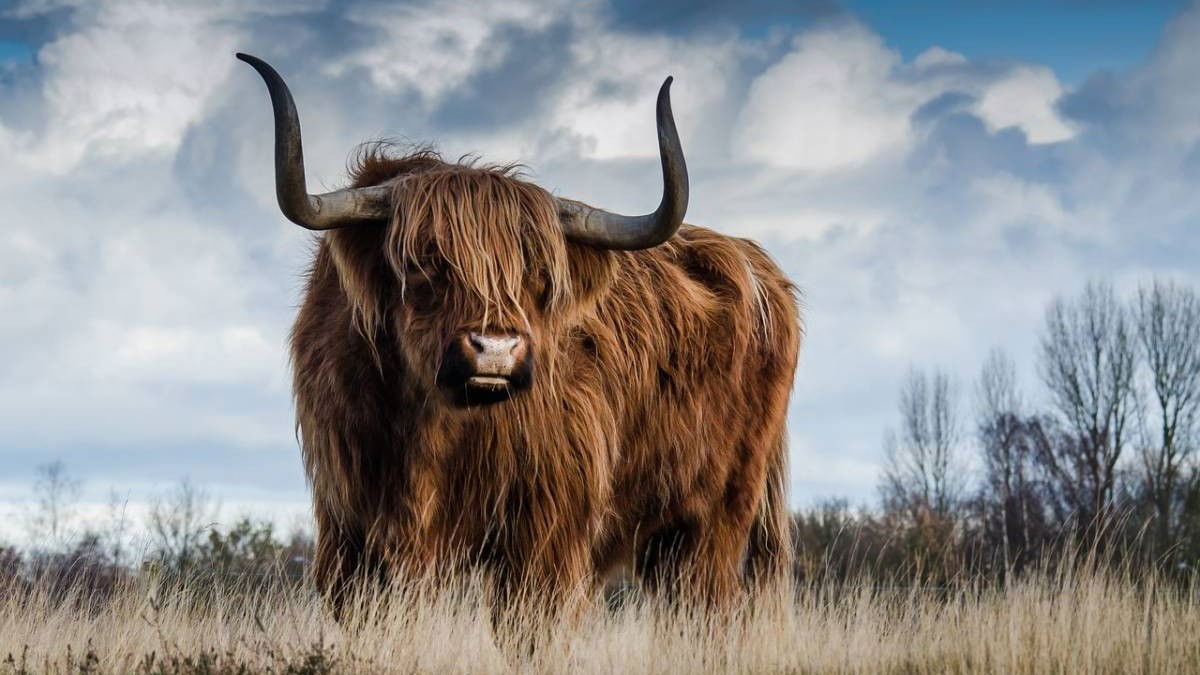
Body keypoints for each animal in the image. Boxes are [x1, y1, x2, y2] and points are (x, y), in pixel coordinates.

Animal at [237, 53, 801, 615]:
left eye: (540, 275)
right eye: (424, 263)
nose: (496, 350)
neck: (429, 431)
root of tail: (758, 265)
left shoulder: (546, 531)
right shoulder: (349, 529)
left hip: (716, 519)